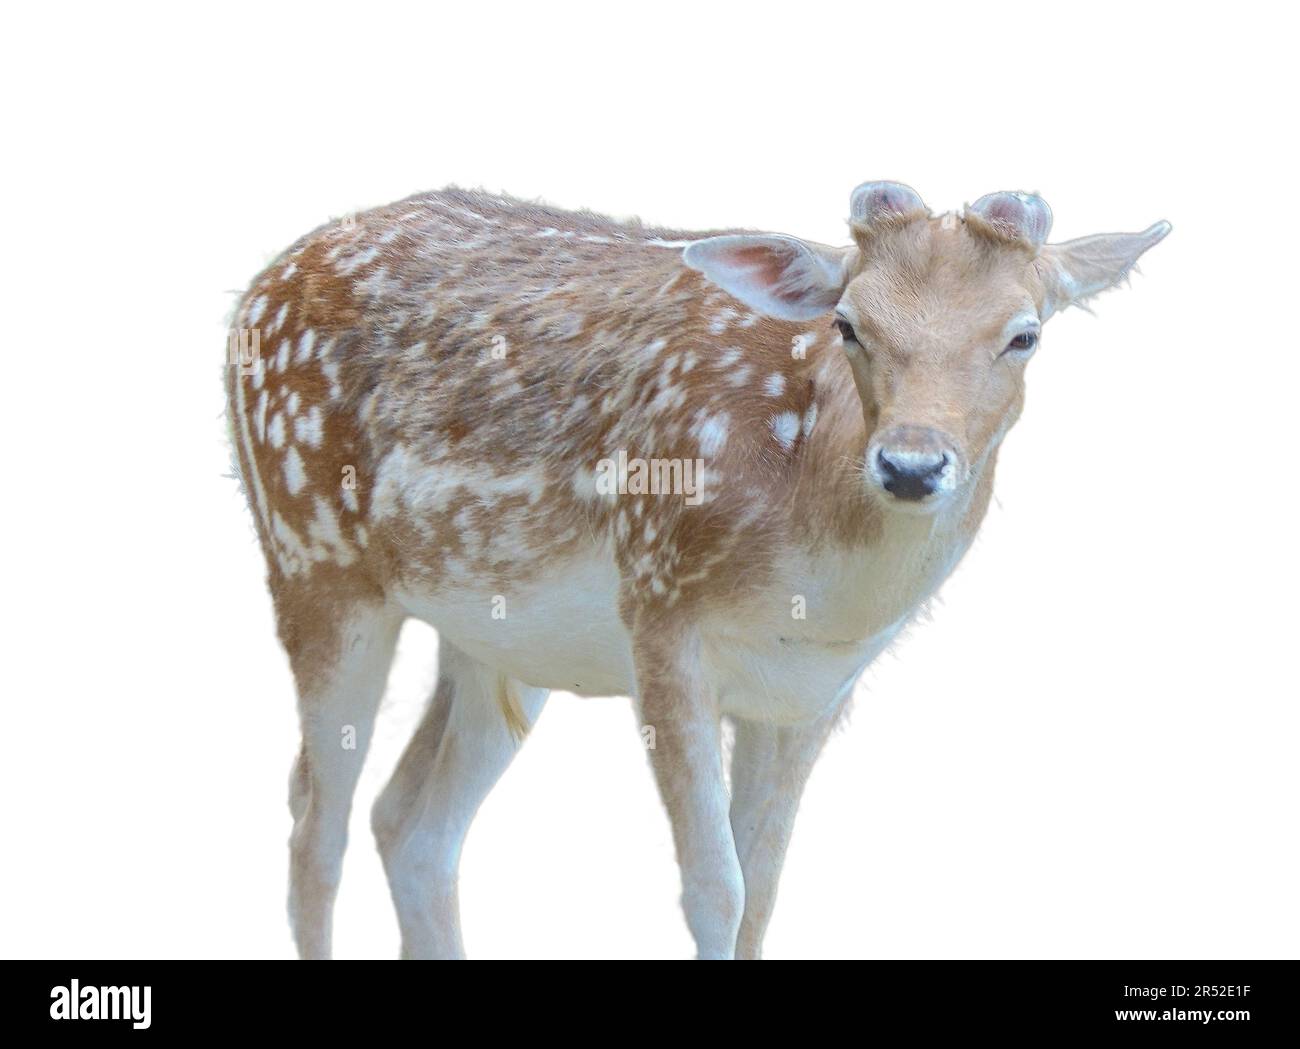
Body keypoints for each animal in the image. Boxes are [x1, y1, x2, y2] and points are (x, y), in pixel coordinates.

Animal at [226, 182, 1169, 959]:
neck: (815, 578)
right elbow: (716, 889)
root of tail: (253, 291)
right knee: (315, 824)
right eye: (849, 323)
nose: (910, 464)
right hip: (311, 553)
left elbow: (765, 889)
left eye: (1024, 334)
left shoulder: (815, 688)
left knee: (410, 823)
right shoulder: (659, 604)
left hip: (499, 639)